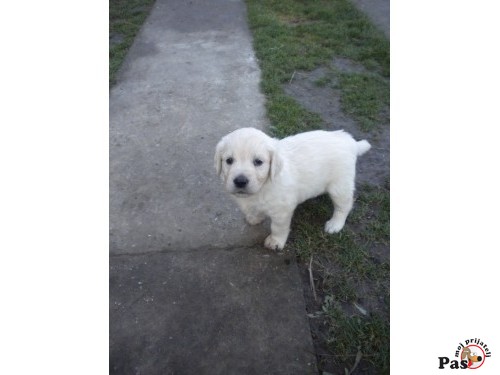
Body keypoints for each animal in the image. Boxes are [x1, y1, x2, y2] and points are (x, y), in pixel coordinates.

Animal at [213, 128, 370, 251]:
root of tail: (351, 142)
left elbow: (278, 227)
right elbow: (256, 210)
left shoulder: (282, 210)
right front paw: (255, 218)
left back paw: (335, 224)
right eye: (229, 160)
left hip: (340, 185)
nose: (240, 181)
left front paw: (275, 241)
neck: (264, 186)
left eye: (258, 162)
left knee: (344, 206)